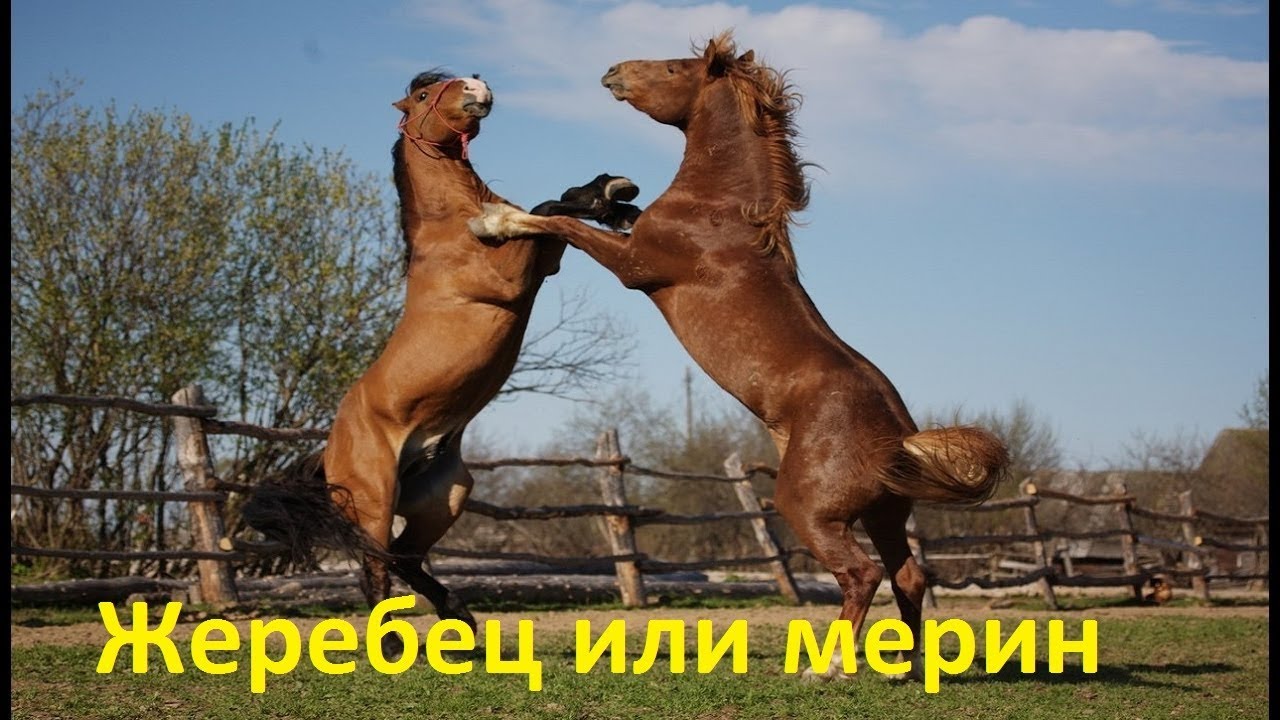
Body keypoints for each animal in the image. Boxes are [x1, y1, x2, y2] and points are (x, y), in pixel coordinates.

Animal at [244, 70, 634, 639]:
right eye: (425, 95)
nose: (477, 86)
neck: (452, 225)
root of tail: (331, 450)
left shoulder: (545, 264)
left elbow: (550, 211)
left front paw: (613, 199)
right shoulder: (512, 276)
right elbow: (539, 211)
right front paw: (598, 198)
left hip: (445, 496)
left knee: (406, 558)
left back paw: (462, 621)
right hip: (375, 499)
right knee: (375, 567)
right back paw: (393, 645)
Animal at [470, 33, 1010, 678]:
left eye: (673, 68)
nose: (613, 70)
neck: (718, 210)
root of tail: (897, 437)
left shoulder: (633, 266)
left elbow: (564, 227)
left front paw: (495, 219)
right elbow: (605, 213)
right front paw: (606, 189)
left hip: (810, 510)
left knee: (862, 574)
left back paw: (825, 667)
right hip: (884, 514)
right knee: (908, 576)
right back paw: (904, 666)